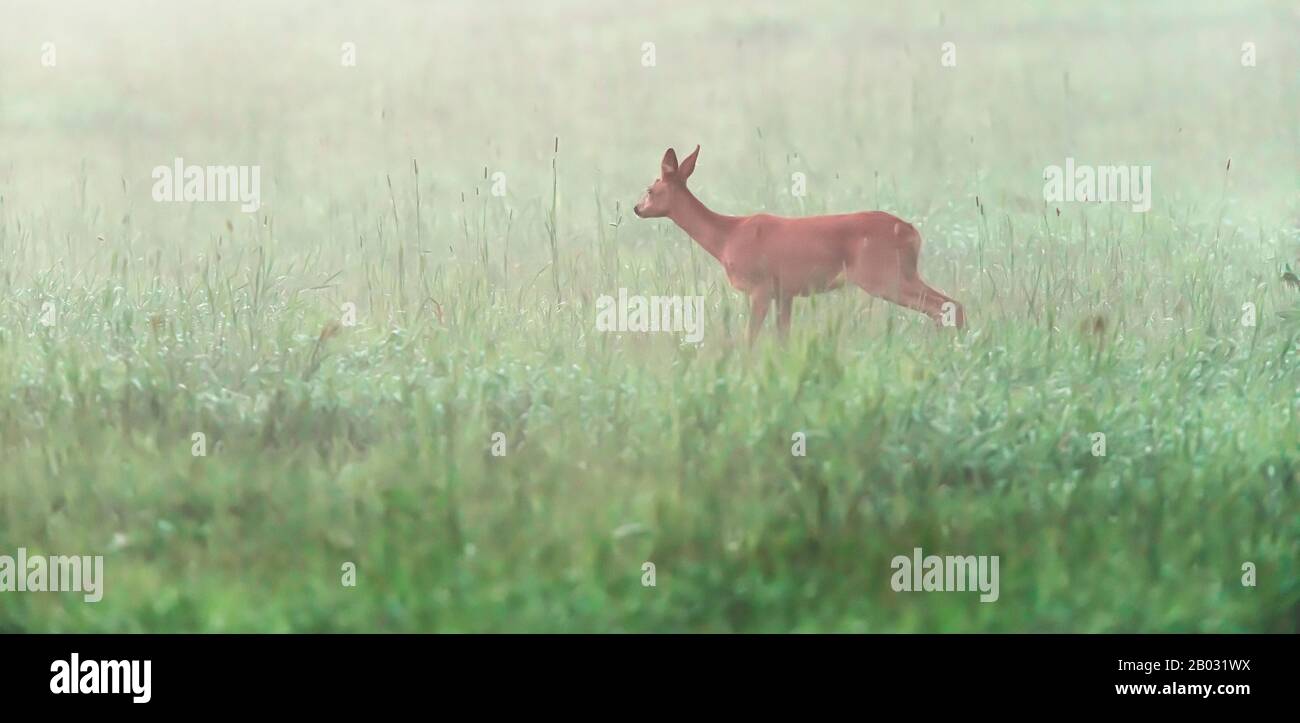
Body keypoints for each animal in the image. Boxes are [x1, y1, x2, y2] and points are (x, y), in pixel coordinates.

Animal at [633, 146, 965, 342]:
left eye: (649, 189)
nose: (636, 208)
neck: (727, 237)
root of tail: (912, 233)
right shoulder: (786, 292)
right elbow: (783, 338)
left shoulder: (761, 286)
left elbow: (750, 338)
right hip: (901, 273)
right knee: (951, 303)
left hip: (883, 275)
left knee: (943, 305)